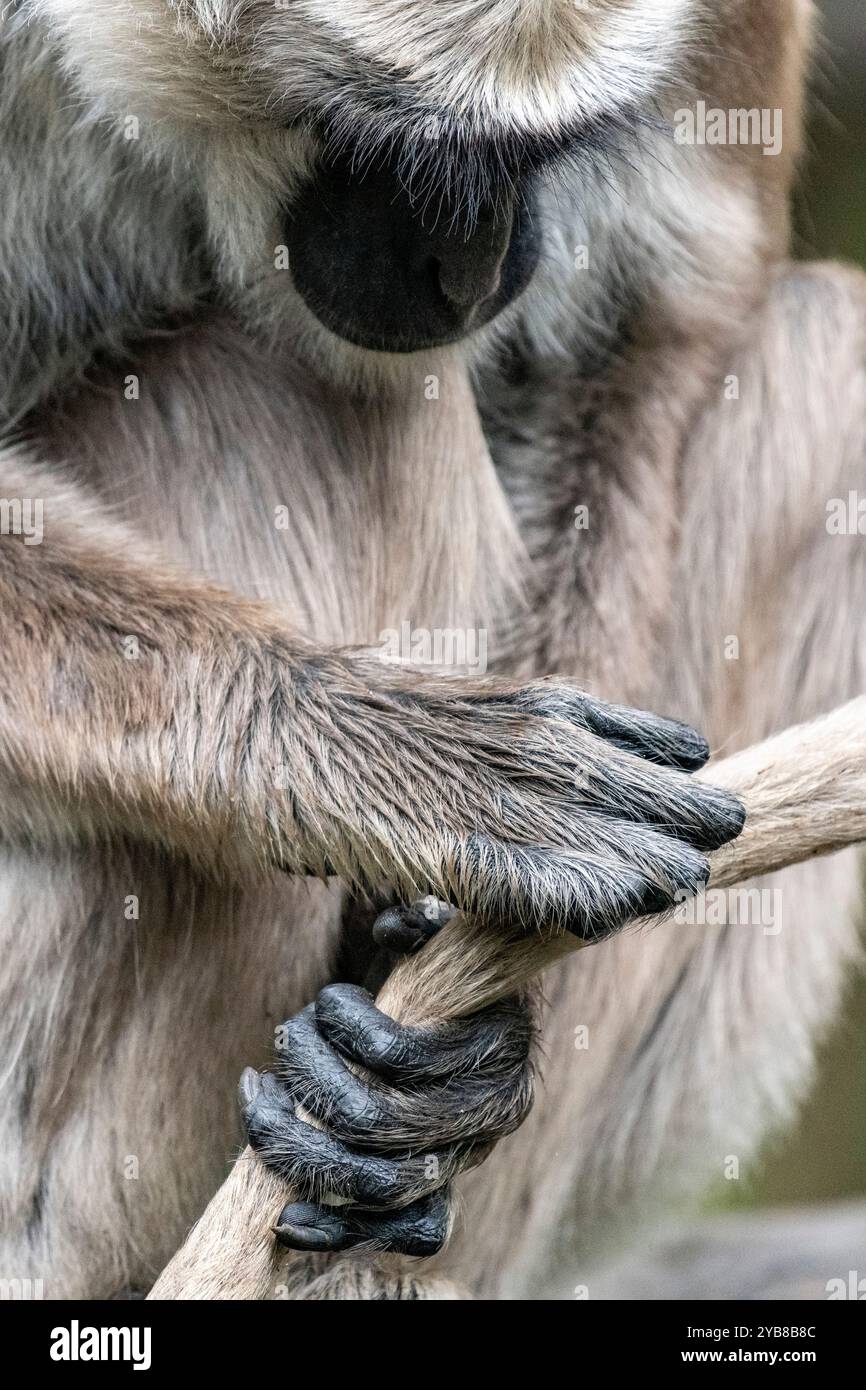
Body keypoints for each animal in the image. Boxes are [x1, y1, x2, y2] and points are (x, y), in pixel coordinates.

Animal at [0, 0, 864, 1301]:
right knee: (281, 392)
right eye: (400, 160)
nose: (465, 267)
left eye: (541, 155)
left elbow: (650, 323)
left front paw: (456, 1043)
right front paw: (398, 758)